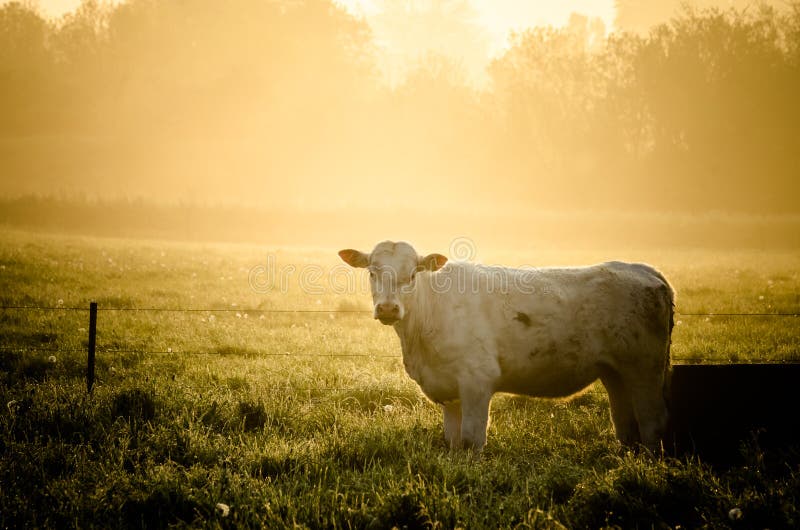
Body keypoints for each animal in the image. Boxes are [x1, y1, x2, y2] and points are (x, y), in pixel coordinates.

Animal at [338, 241, 675, 452]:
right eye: (371, 272)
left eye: (411, 275)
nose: (388, 309)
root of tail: (643, 269)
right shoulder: (449, 389)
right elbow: (452, 441)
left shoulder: (477, 380)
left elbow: (471, 440)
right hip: (615, 373)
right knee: (626, 426)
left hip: (644, 368)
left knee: (653, 423)